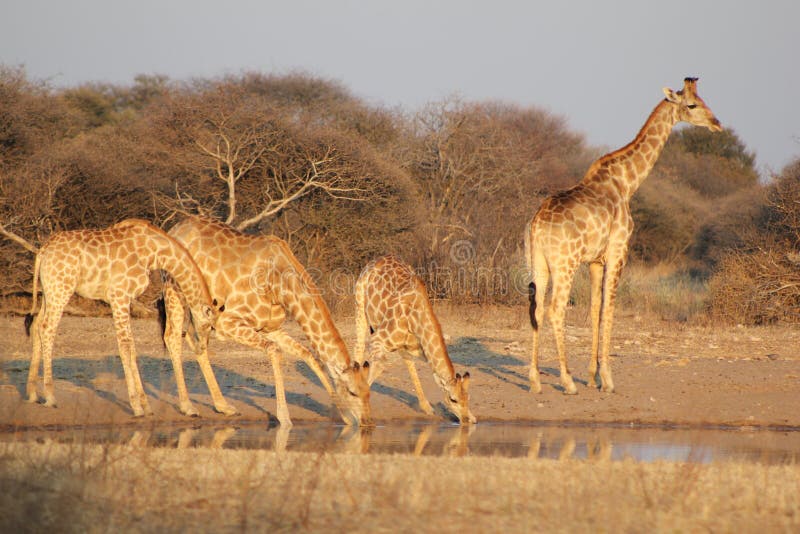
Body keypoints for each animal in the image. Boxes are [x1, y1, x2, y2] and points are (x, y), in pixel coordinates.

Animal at [24, 219, 219, 417]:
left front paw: (146, 405)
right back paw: (50, 396)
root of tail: (43, 250)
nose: (202, 347)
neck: (153, 252)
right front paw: (136, 407)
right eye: (210, 326)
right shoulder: (119, 296)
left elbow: (131, 346)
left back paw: (33, 394)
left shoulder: (127, 299)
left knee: (36, 324)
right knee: (47, 328)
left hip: (49, 291)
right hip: (61, 290)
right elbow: (125, 346)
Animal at [159, 216, 371, 427]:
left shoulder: (270, 328)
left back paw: (223, 406)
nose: (366, 421)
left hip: (199, 309)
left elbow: (307, 354)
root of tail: (174, 229)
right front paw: (284, 418)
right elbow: (275, 351)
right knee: (172, 337)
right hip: (174, 291)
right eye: (352, 391)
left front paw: (344, 415)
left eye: (368, 391)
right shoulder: (226, 323)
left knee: (196, 343)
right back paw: (188, 407)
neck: (279, 284)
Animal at [354, 255, 476, 424]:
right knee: (358, 347)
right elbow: (380, 364)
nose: (466, 420)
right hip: (360, 307)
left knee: (406, 362)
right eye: (453, 399)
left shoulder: (416, 348)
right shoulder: (377, 338)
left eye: (468, 398)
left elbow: (413, 367)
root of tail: (373, 262)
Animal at [526, 77, 722, 395]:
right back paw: (567, 381)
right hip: (565, 264)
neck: (628, 182)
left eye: (704, 101)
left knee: (538, 308)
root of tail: (538, 225)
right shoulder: (618, 252)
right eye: (692, 105)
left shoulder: (595, 261)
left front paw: (592, 375)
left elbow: (595, 308)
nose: (717, 123)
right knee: (556, 309)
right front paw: (607, 379)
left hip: (539, 263)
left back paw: (534, 380)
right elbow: (609, 308)